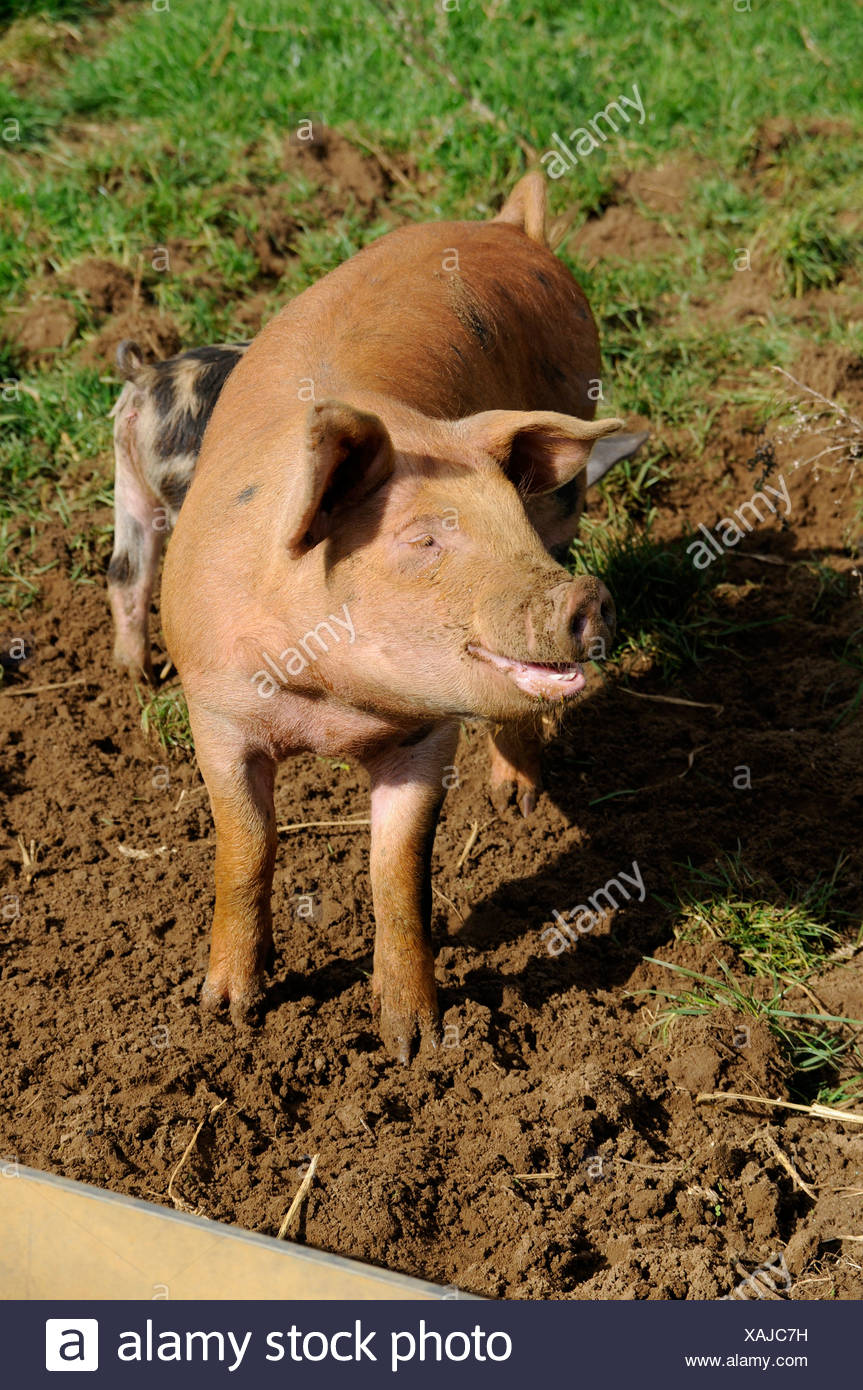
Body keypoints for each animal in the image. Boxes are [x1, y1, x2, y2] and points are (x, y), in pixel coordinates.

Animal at [160, 171, 644, 1060]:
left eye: (512, 528)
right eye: (421, 539)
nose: (583, 596)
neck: (329, 701)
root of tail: (507, 228)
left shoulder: (428, 734)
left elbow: (398, 873)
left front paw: (414, 1044)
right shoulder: (213, 710)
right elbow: (246, 849)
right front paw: (227, 1012)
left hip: (568, 469)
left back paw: (516, 805)